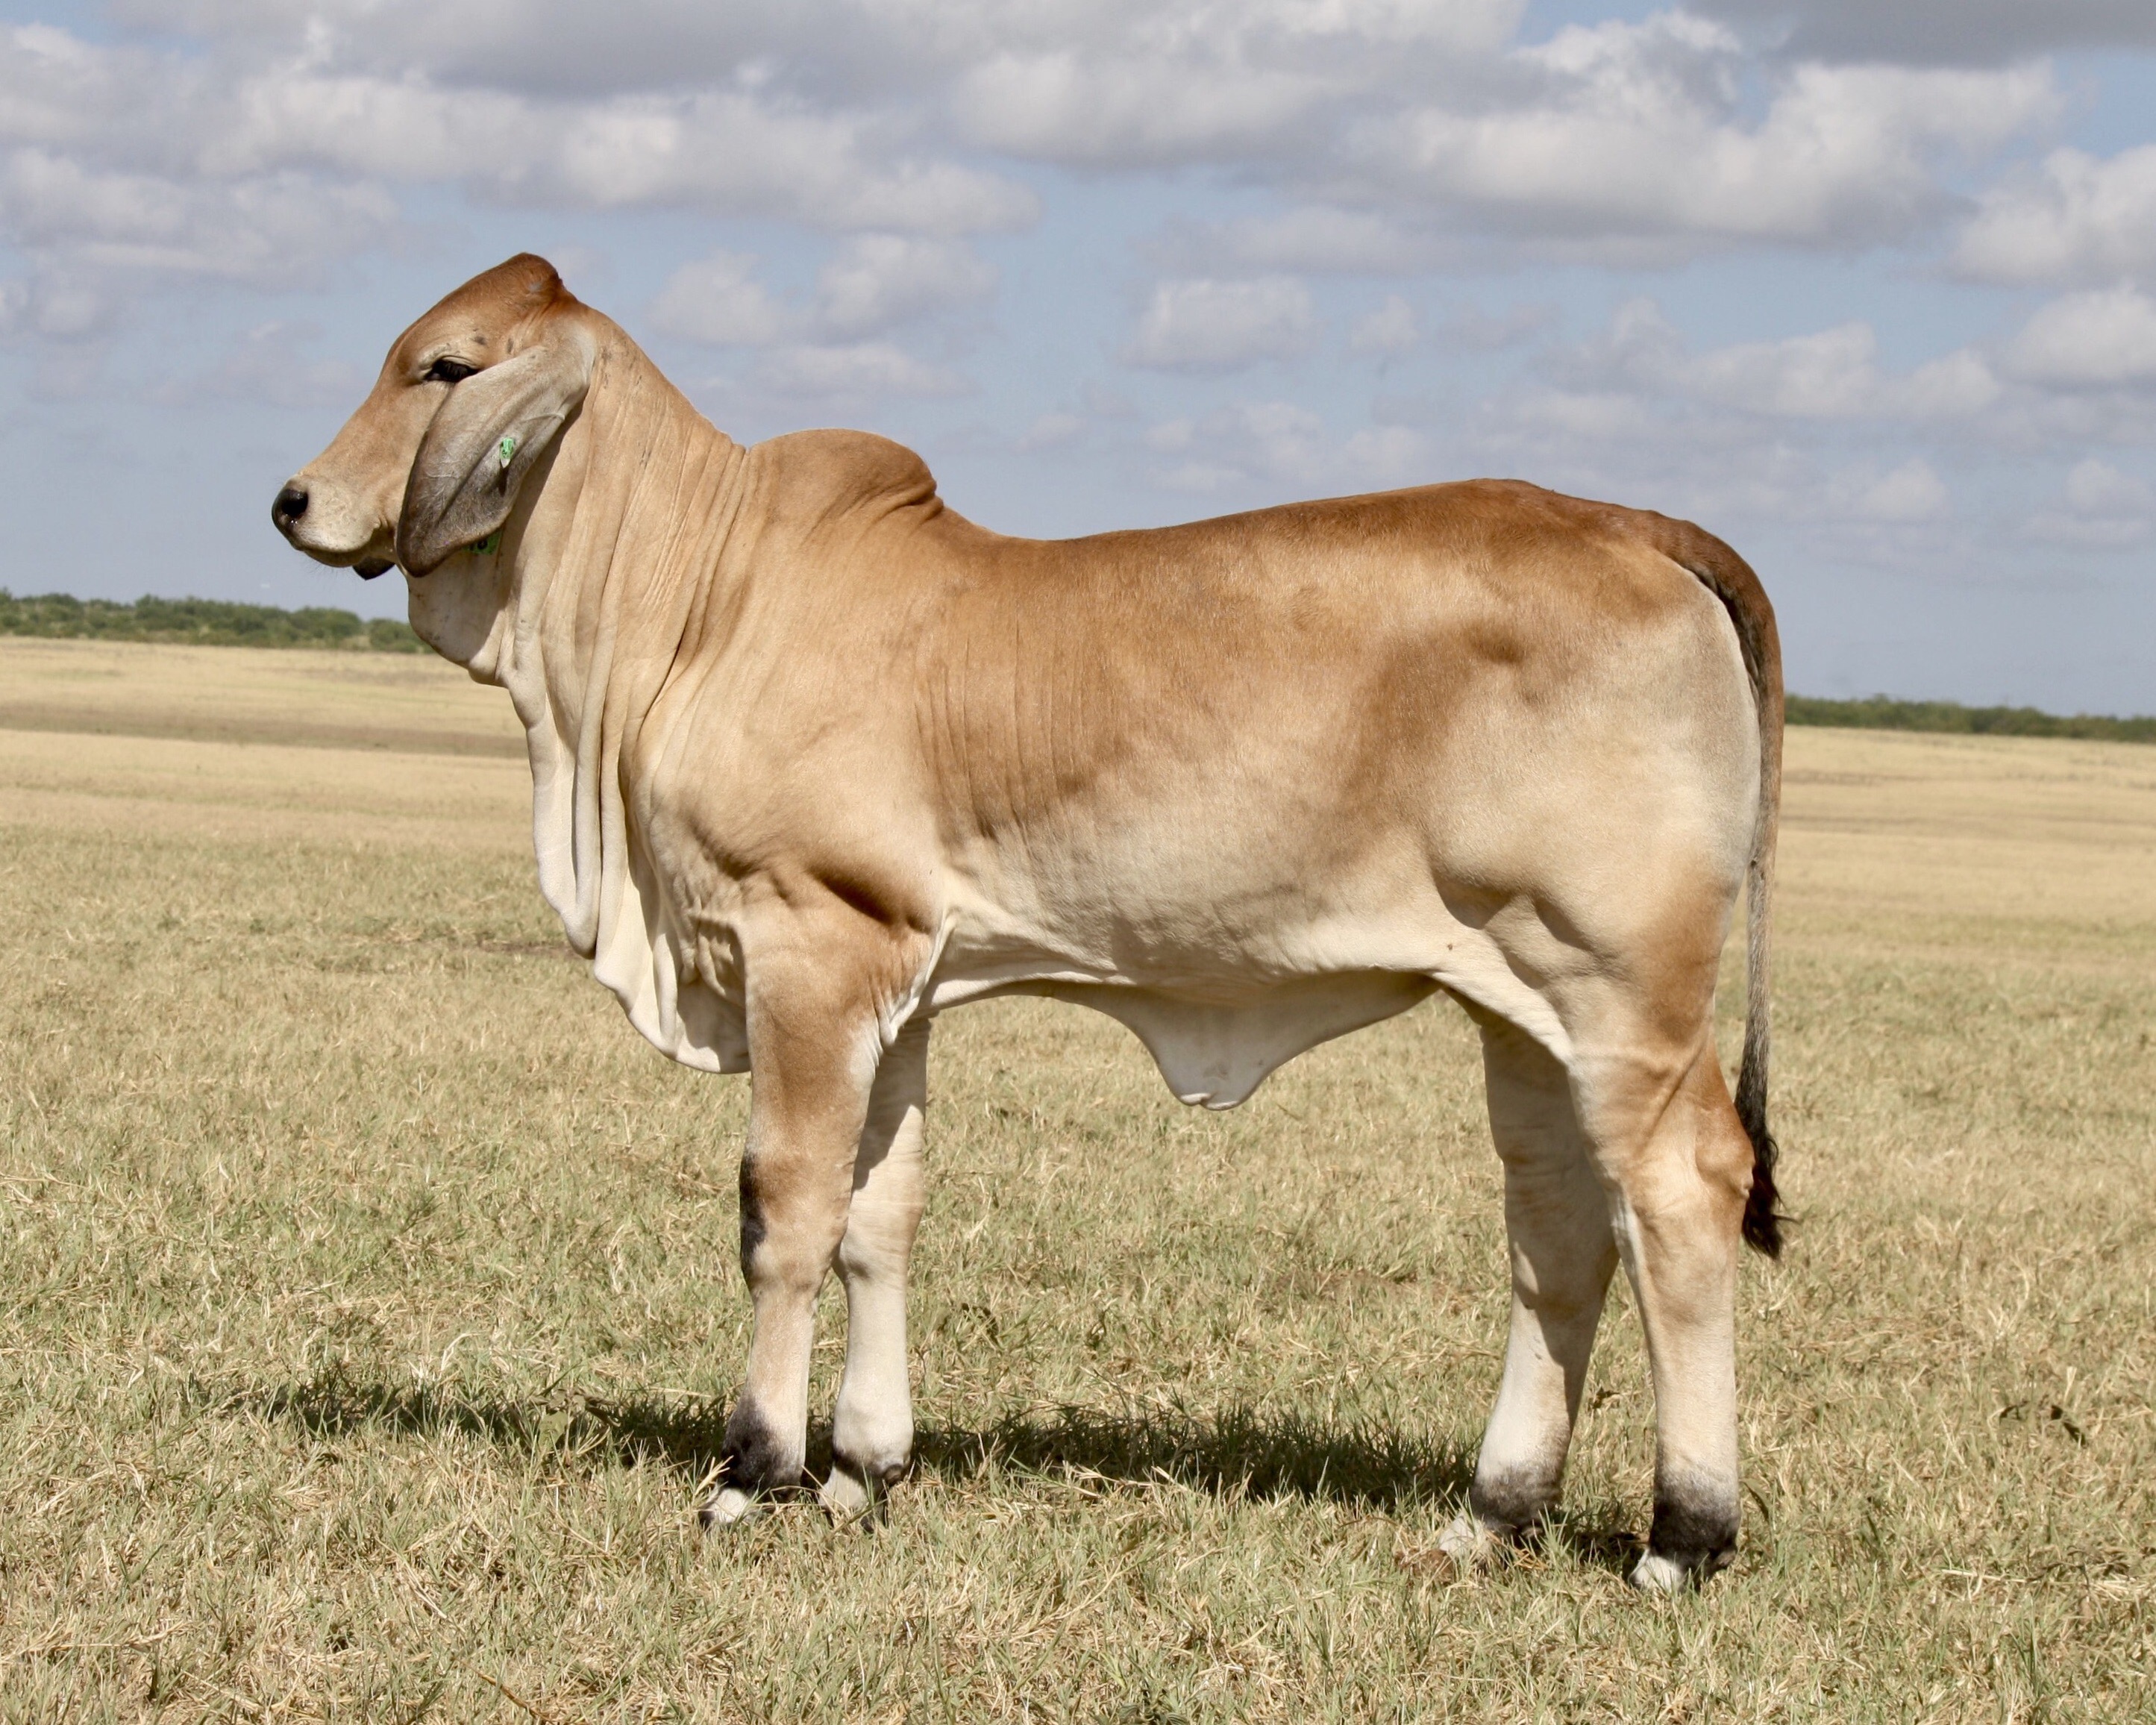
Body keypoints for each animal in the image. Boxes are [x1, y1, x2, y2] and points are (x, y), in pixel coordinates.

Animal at [272, 254, 1784, 1591]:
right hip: (1518, 1006)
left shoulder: (806, 947)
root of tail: (1639, 524)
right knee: (1559, 1231)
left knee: (1682, 1197)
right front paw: (861, 1468)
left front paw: (753, 1471)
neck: (702, 598)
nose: (293, 500)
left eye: (443, 366)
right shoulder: (897, 985)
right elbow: (880, 1215)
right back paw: (1493, 1514)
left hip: (1624, 992)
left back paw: (1682, 1532)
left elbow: (788, 1210)